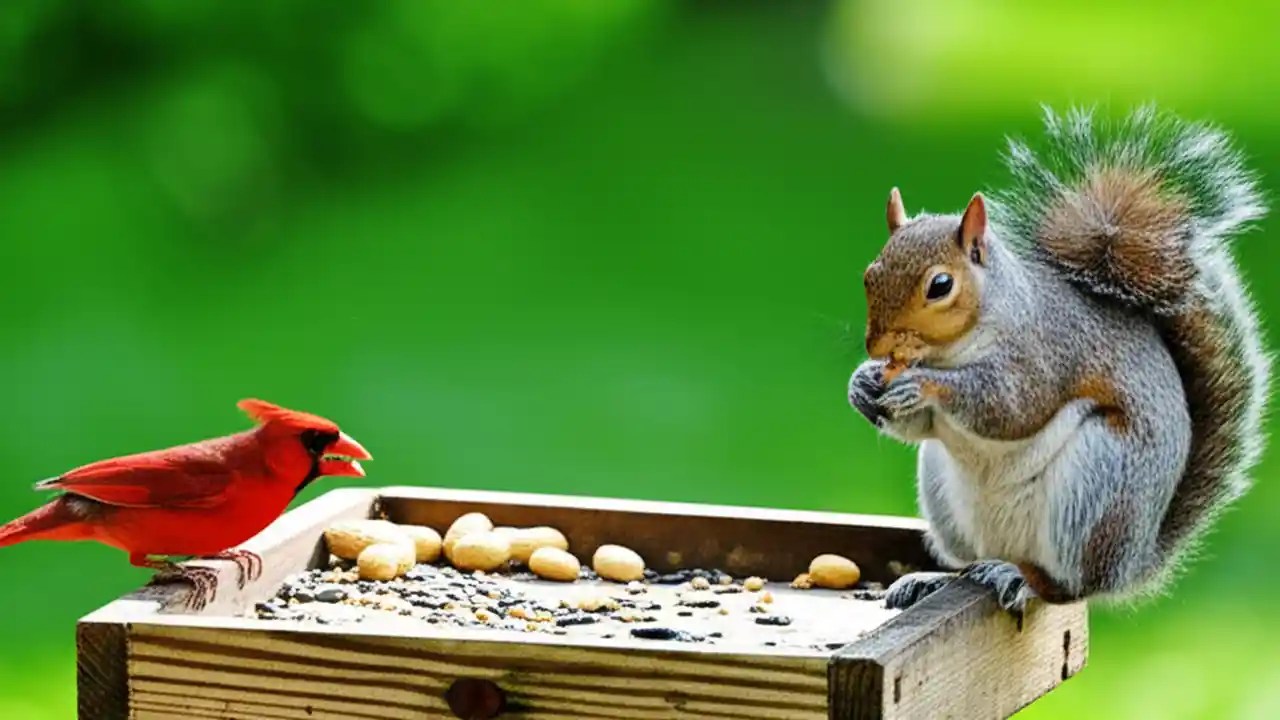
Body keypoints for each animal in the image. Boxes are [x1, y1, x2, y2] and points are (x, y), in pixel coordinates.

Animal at [847, 106, 1270, 614]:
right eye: (870, 274)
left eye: (940, 286)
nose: (876, 348)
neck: (955, 348)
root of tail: (1132, 562)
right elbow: (920, 426)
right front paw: (863, 383)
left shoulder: (1045, 355)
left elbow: (1011, 407)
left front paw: (923, 385)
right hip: (945, 494)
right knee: (970, 563)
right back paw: (937, 578)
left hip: (1094, 487)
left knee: (1068, 586)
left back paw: (1019, 576)